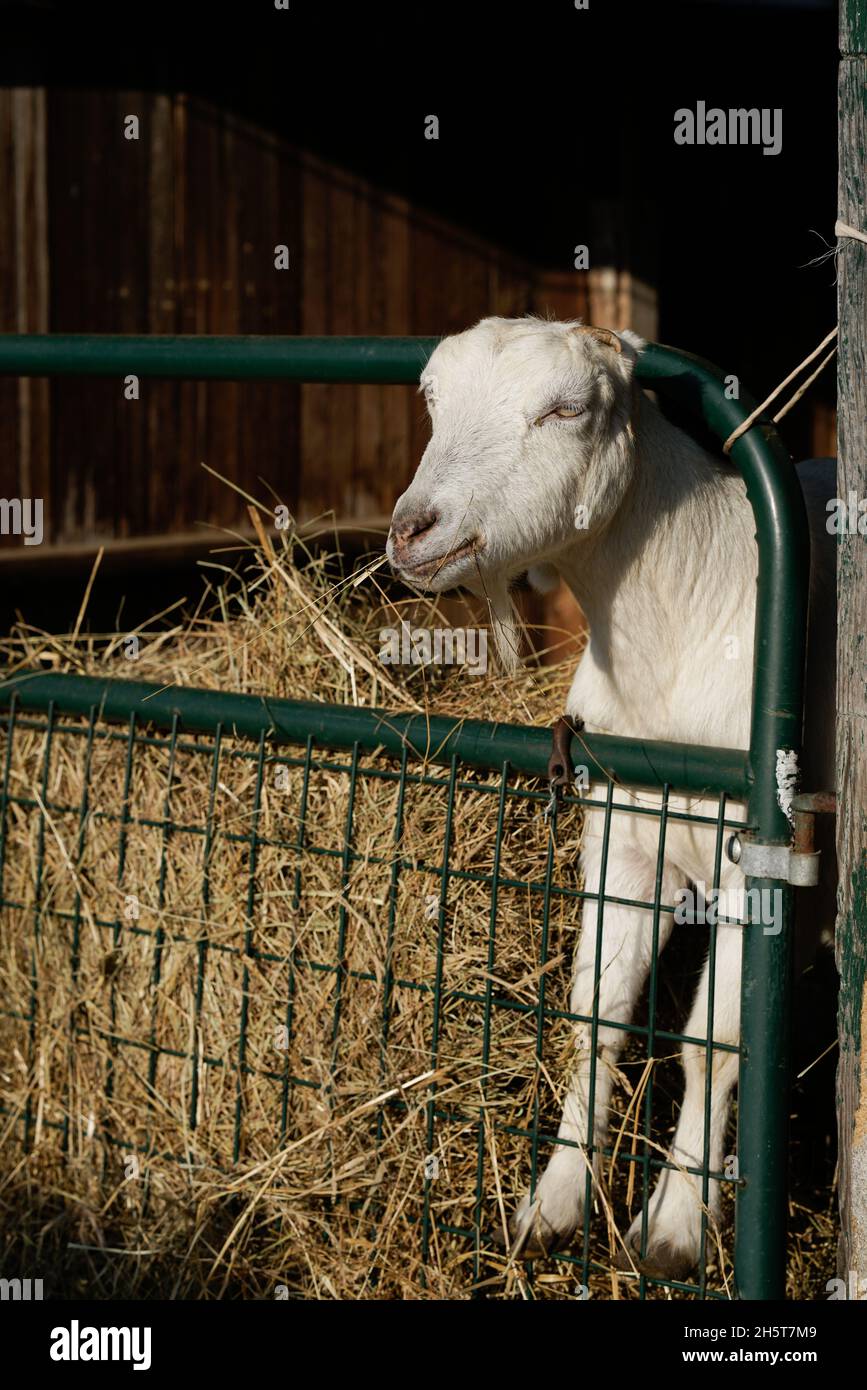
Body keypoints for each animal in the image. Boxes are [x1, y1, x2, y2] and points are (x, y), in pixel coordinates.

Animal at [386, 316, 836, 1279]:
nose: (413, 529)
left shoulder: (757, 865)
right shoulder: (625, 837)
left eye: (566, 409)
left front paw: (673, 1229)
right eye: (432, 399)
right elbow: (594, 1019)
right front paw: (552, 1207)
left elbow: (715, 1044)